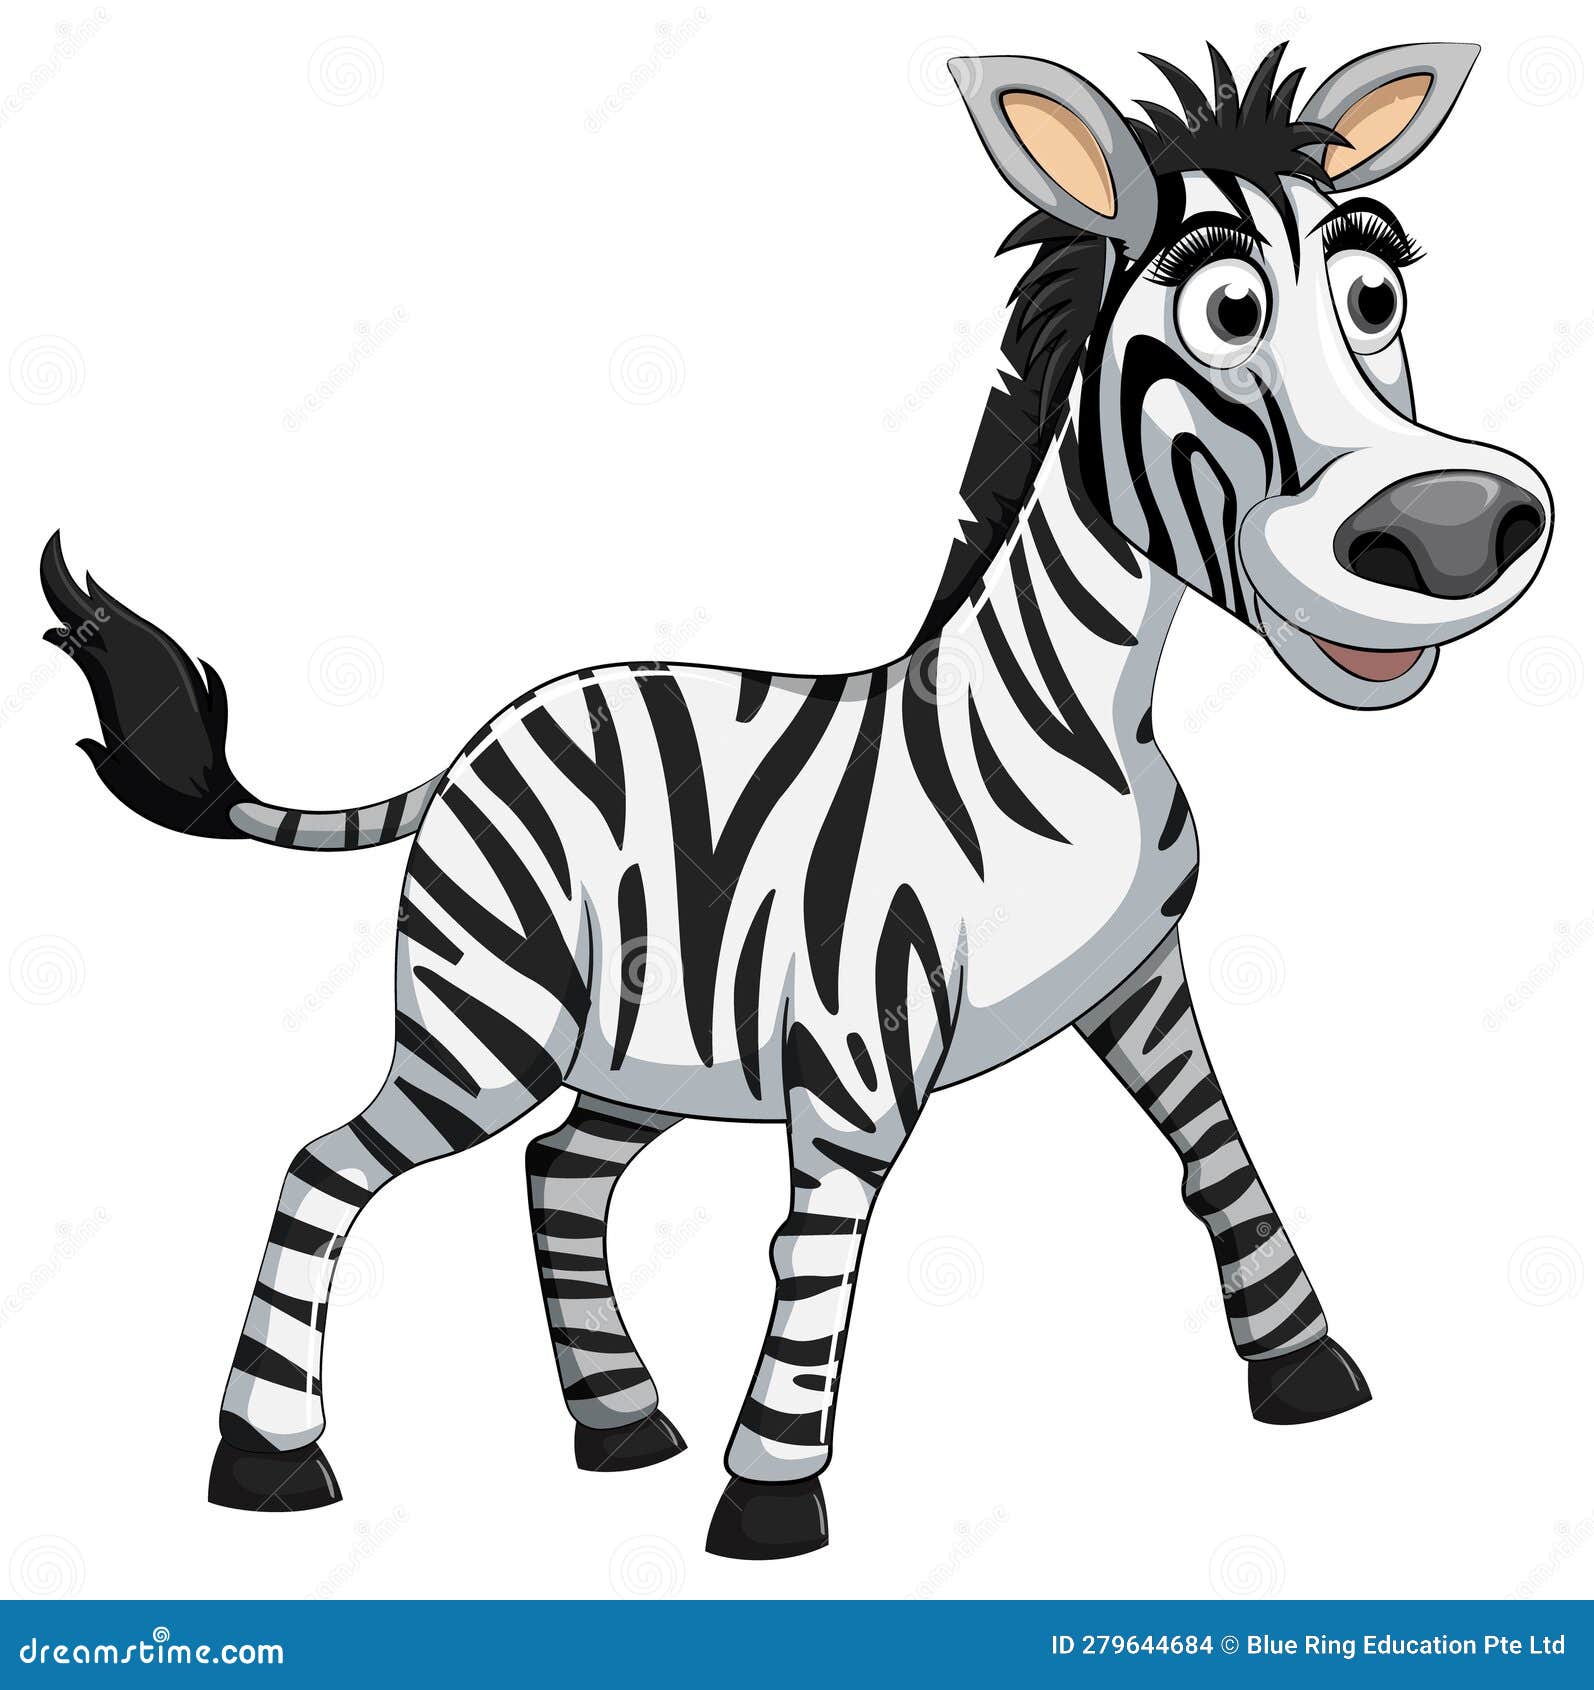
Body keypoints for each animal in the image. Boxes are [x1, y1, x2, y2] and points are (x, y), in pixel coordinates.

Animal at [41, 40, 1551, 1560]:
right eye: (1228, 310)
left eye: (1375, 295)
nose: (1450, 531)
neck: (1085, 722)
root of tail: (484, 736)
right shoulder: (855, 1048)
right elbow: (815, 1247)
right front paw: (770, 1491)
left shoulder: (1136, 980)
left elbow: (1215, 1150)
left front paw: (1301, 1364)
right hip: (492, 1025)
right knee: (325, 1163)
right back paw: (269, 1450)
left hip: (644, 1042)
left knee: (557, 1174)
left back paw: (619, 1423)